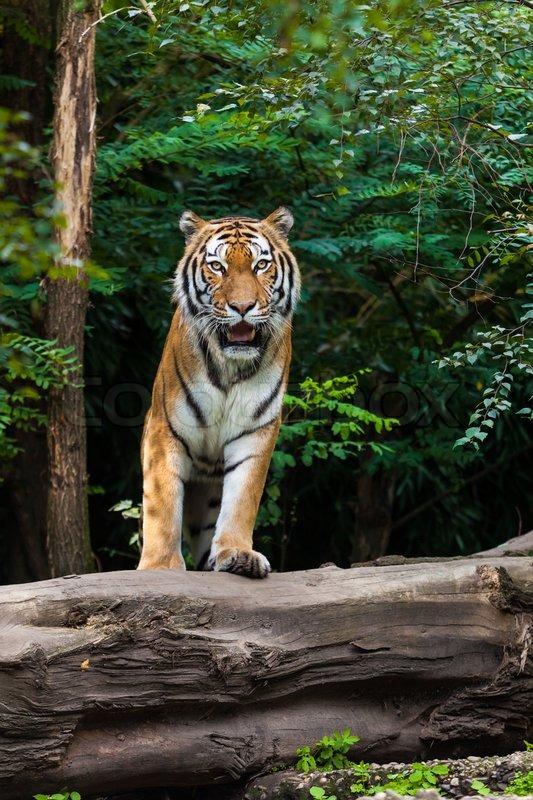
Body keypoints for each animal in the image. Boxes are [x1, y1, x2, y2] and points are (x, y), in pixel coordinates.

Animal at [137, 207, 301, 578]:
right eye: (217, 266)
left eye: (260, 265)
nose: (242, 307)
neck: (230, 367)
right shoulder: (164, 429)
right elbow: (162, 504)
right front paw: (160, 567)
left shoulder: (256, 430)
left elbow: (243, 497)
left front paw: (237, 553)